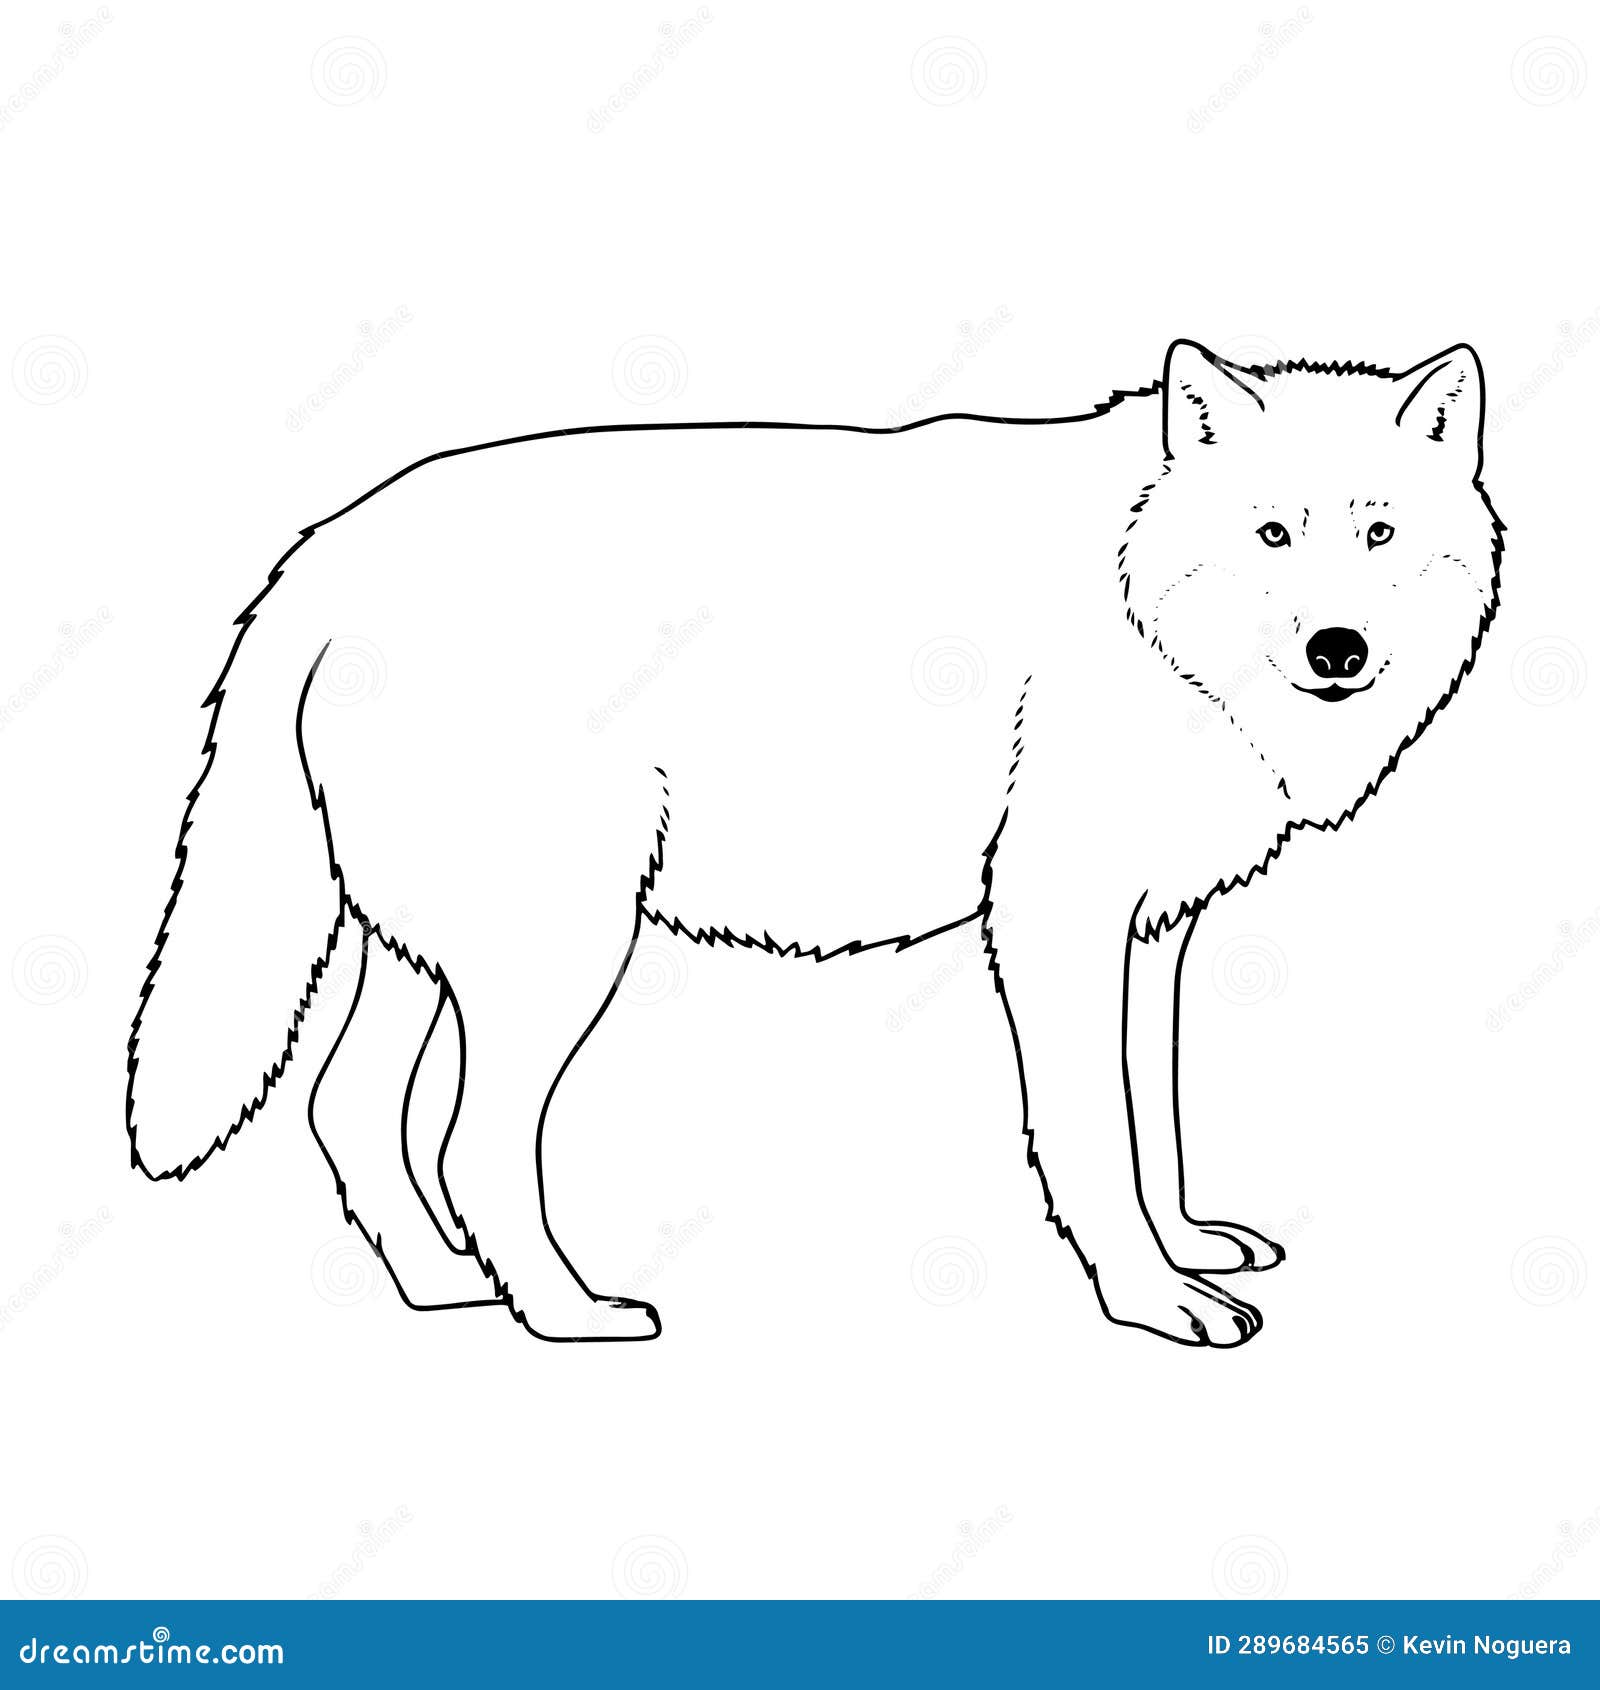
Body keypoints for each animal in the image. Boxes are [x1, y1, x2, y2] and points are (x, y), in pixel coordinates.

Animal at [127, 339, 1501, 1347]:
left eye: (1377, 533)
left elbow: (1151, 1122)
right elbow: (1091, 1135)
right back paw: (568, 1315)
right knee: (471, 1144)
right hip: (560, 955)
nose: (1338, 649)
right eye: (1271, 534)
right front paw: (1150, 1300)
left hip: (430, 955)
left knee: (345, 1111)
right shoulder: (1056, 919)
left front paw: (1186, 1252)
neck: (1143, 607)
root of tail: (318, 554)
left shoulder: (1154, 928)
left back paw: (446, 1290)